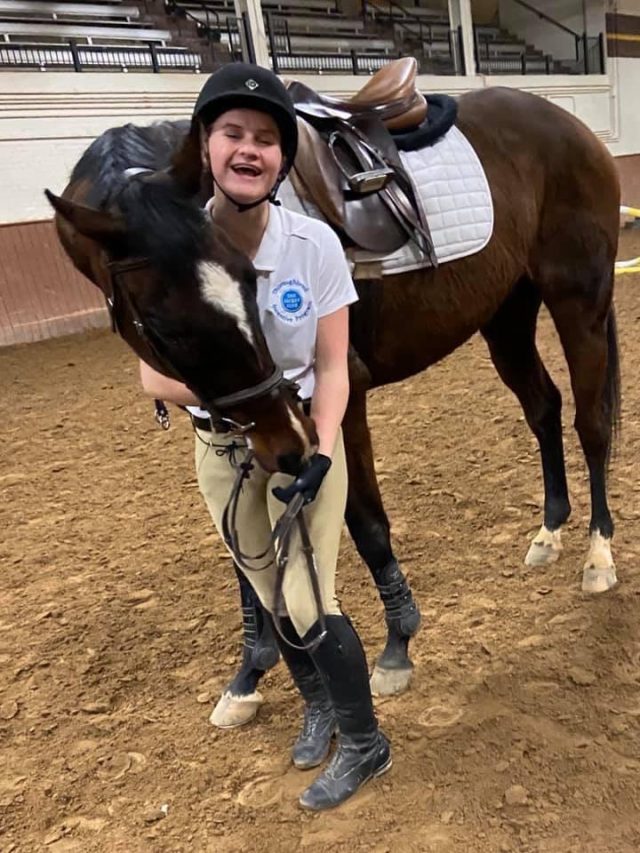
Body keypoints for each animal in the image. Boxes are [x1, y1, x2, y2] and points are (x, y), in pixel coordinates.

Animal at [46, 82, 621, 726]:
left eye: (250, 279)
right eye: (165, 328)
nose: (290, 445)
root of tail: (568, 125)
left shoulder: (341, 400)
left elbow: (366, 523)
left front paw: (397, 645)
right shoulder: (239, 429)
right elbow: (246, 561)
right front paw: (247, 676)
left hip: (579, 302)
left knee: (591, 422)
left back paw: (599, 554)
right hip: (506, 315)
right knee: (543, 408)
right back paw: (549, 530)